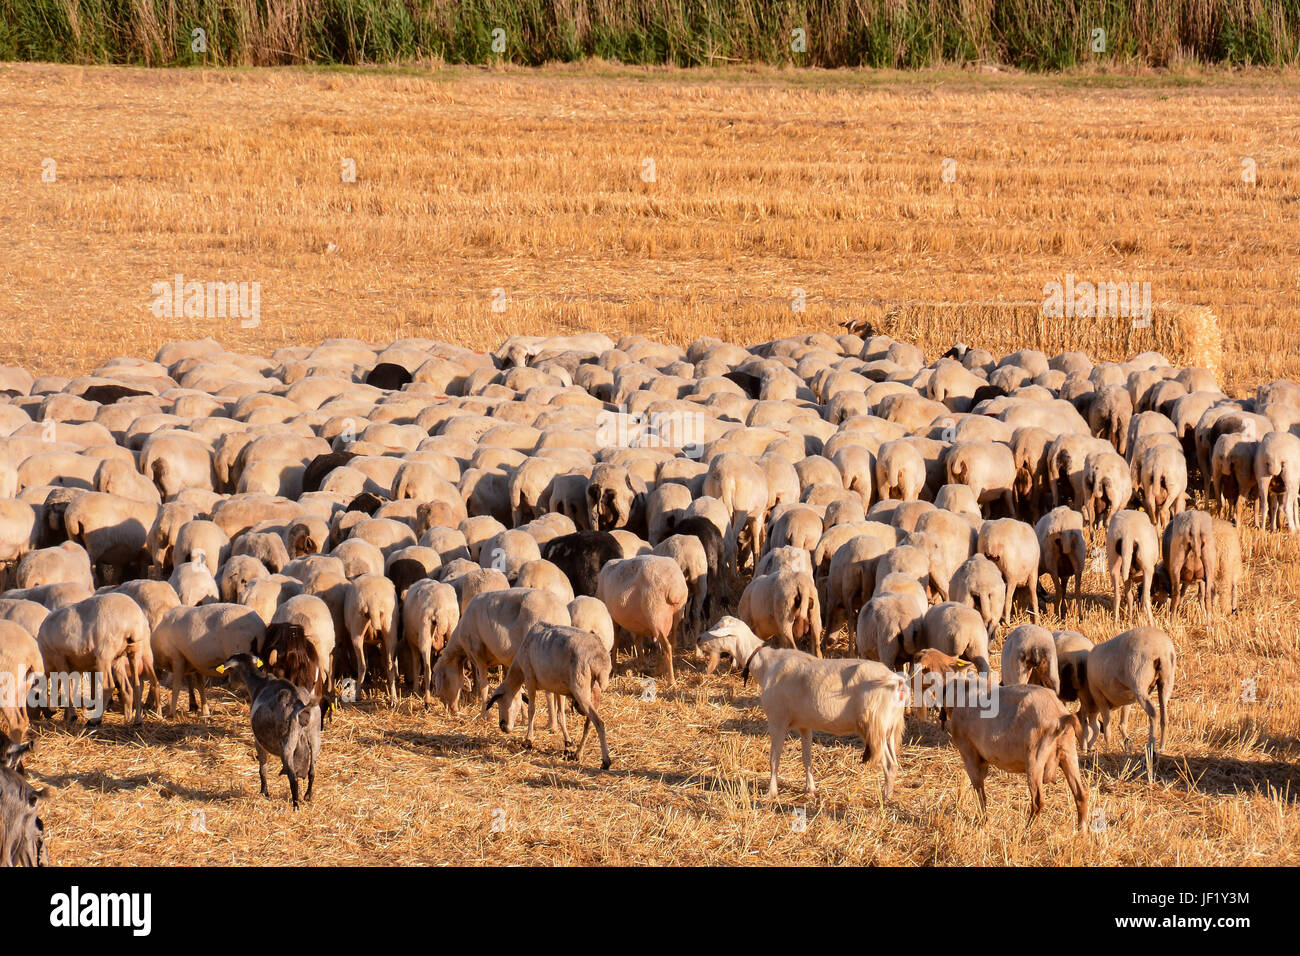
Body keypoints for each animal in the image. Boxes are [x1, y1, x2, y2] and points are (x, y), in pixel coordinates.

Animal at [216, 654, 321, 809]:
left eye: (229, 671)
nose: (229, 684)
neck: (259, 684)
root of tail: (302, 706)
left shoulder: (258, 741)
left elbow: (262, 768)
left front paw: (264, 791)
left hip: (288, 744)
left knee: (293, 778)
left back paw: (295, 806)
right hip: (315, 737)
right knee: (312, 771)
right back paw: (308, 795)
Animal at [484, 623, 612, 770]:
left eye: (500, 701)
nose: (503, 727)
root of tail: (599, 658)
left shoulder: (529, 678)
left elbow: (532, 710)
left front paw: (528, 740)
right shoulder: (559, 688)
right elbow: (560, 715)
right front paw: (568, 745)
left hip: (580, 688)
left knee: (599, 722)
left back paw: (606, 761)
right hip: (595, 691)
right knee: (589, 724)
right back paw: (578, 754)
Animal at [741, 646, 908, 800]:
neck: (766, 665)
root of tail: (897, 681)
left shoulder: (777, 720)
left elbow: (774, 759)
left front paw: (771, 793)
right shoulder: (804, 725)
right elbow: (806, 758)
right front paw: (810, 789)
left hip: (877, 726)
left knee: (889, 764)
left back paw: (886, 798)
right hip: (890, 728)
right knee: (894, 762)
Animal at [948, 683, 1087, 828]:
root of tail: (1060, 717)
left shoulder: (969, 753)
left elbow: (978, 791)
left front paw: (982, 822)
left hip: (1034, 759)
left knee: (1038, 800)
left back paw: (1027, 830)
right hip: (1069, 753)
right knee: (1080, 795)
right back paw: (1081, 830)